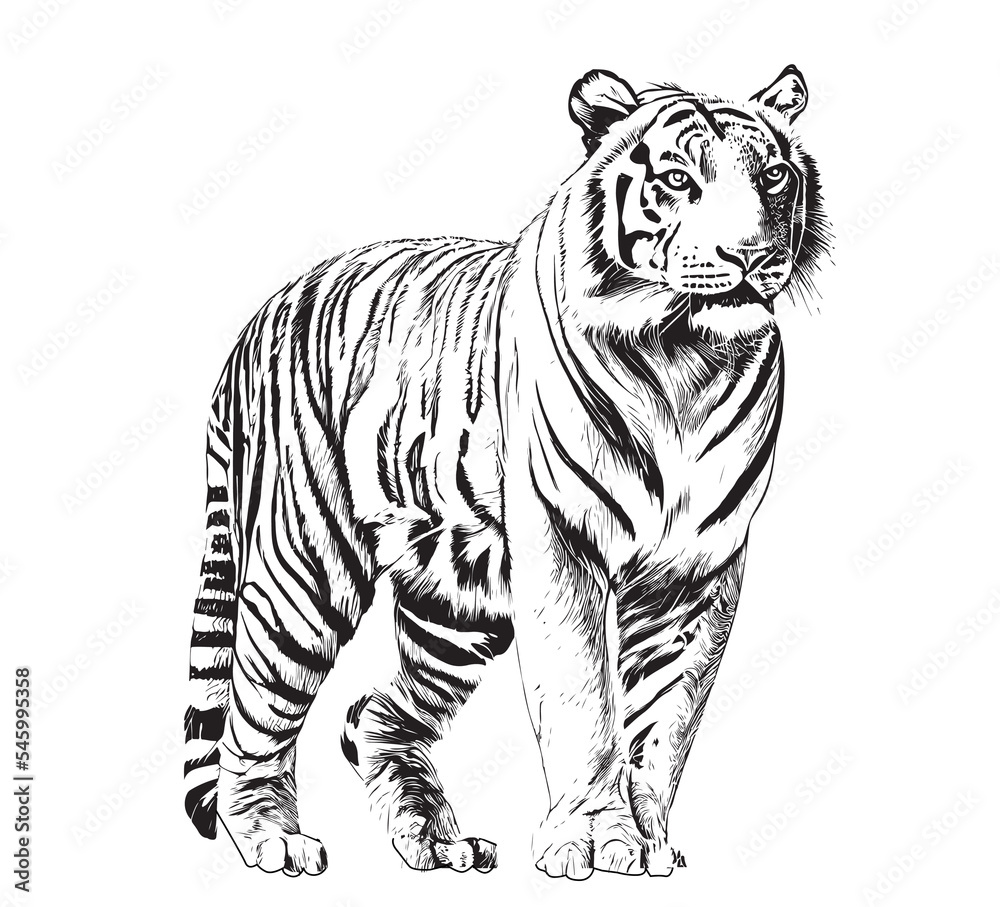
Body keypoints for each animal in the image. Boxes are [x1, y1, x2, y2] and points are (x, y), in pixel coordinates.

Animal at [184, 64, 830, 879]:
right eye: (679, 179)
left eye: (772, 175)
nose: (747, 255)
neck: (687, 358)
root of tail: (256, 320)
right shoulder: (561, 545)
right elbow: (584, 704)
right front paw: (592, 840)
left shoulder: (698, 567)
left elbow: (668, 719)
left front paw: (651, 841)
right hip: (305, 568)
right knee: (254, 712)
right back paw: (274, 838)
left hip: (455, 601)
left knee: (374, 714)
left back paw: (435, 840)